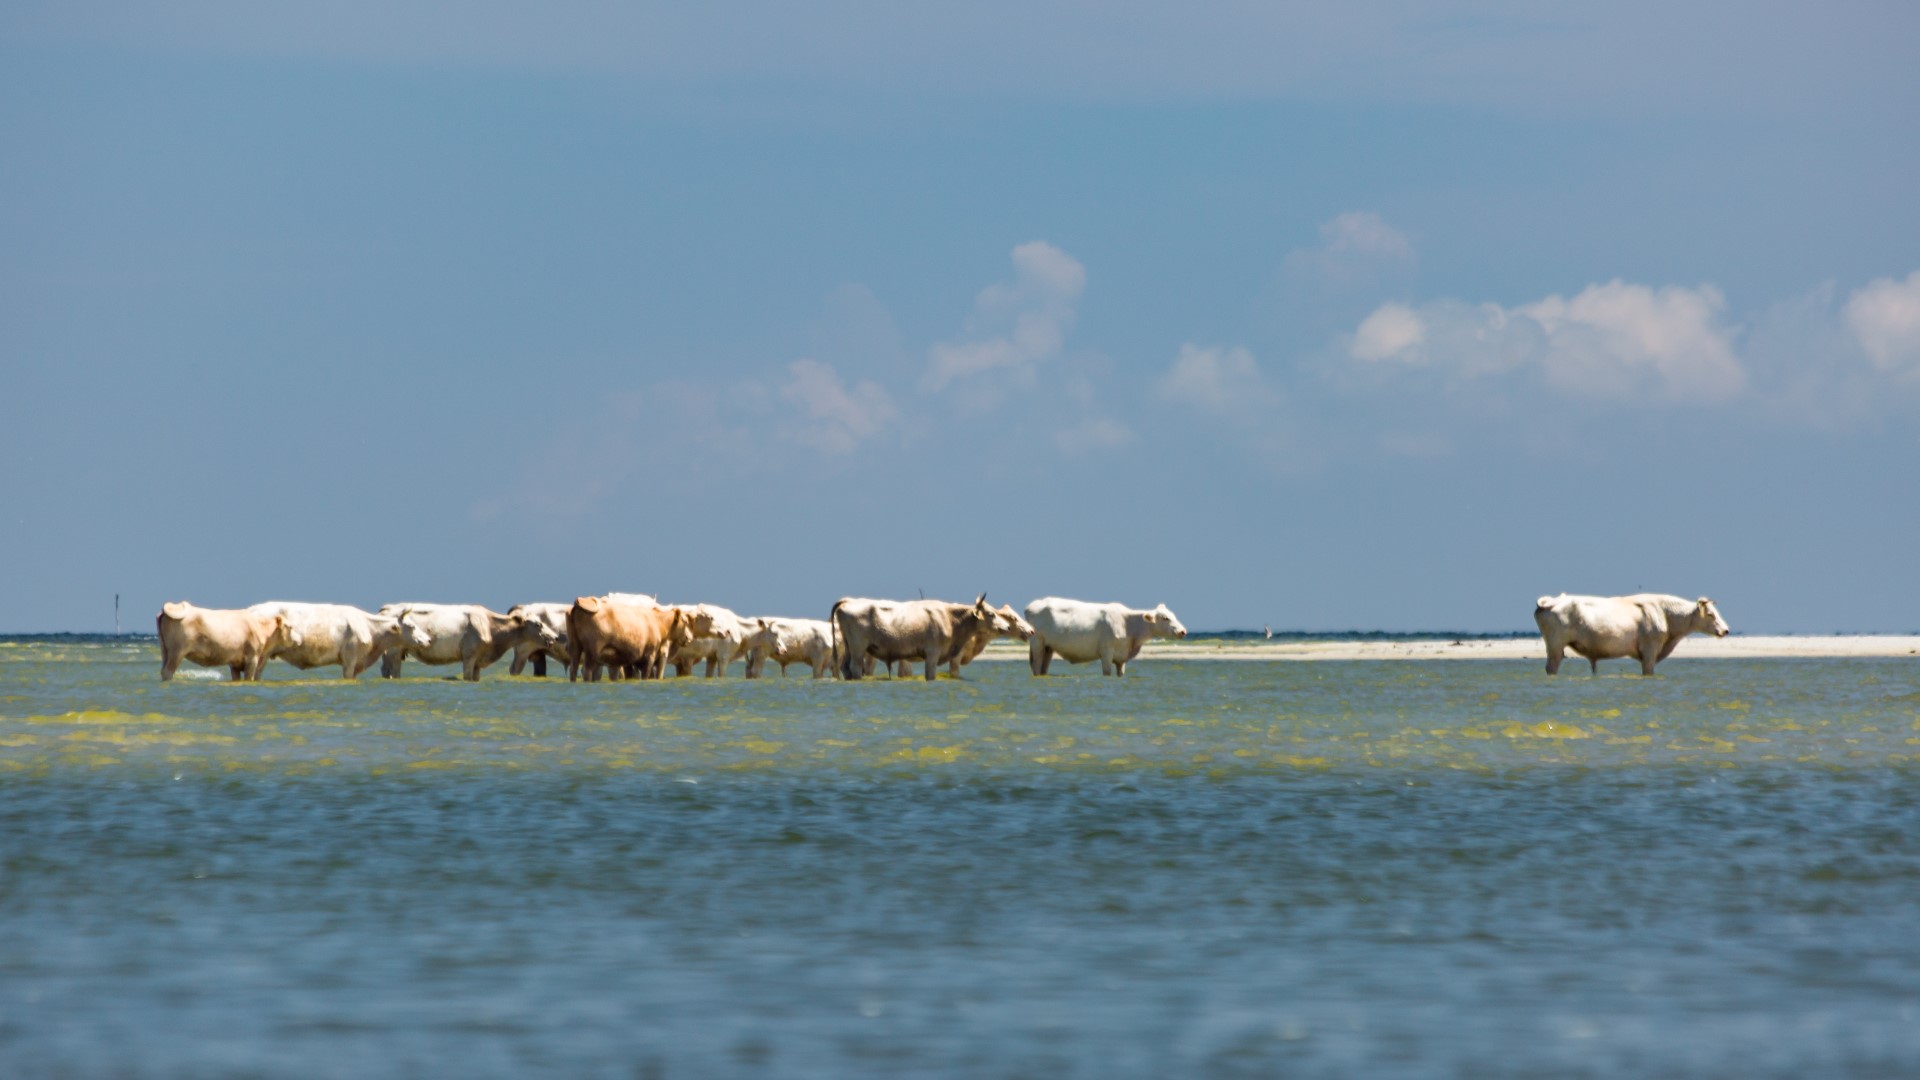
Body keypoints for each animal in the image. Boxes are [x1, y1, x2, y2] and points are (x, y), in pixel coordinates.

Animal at [156, 602, 300, 682]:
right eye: (289, 627)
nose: (299, 640)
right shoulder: (252, 658)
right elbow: (249, 678)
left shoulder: (235, 662)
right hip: (177, 651)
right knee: (168, 671)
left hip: (165, 651)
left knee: (163, 670)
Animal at [374, 604, 561, 681]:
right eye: (538, 624)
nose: (556, 637)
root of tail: (388, 608)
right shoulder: (469, 657)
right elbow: (467, 677)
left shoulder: (478, 661)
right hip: (395, 652)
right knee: (394, 672)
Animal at [830, 595, 1002, 681]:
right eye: (991, 614)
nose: (1005, 627)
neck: (949, 618)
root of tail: (848, 601)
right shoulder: (932, 654)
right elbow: (930, 675)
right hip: (858, 647)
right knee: (855, 668)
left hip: (848, 646)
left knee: (845, 667)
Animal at [1023, 597, 1189, 677]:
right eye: (1165, 618)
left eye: (1173, 615)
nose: (1183, 631)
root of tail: (1033, 605)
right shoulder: (1106, 651)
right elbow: (1107, 673)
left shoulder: (1121, 657)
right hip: (1037, 642)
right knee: (1036, 666)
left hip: (1048, 647)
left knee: (1043, 668)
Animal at [1534, 593, 1730, 676]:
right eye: (1710, 614)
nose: (1726, 630)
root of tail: (1552, 600)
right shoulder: (1650, 652)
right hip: (1555, 646)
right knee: (1551, 667)